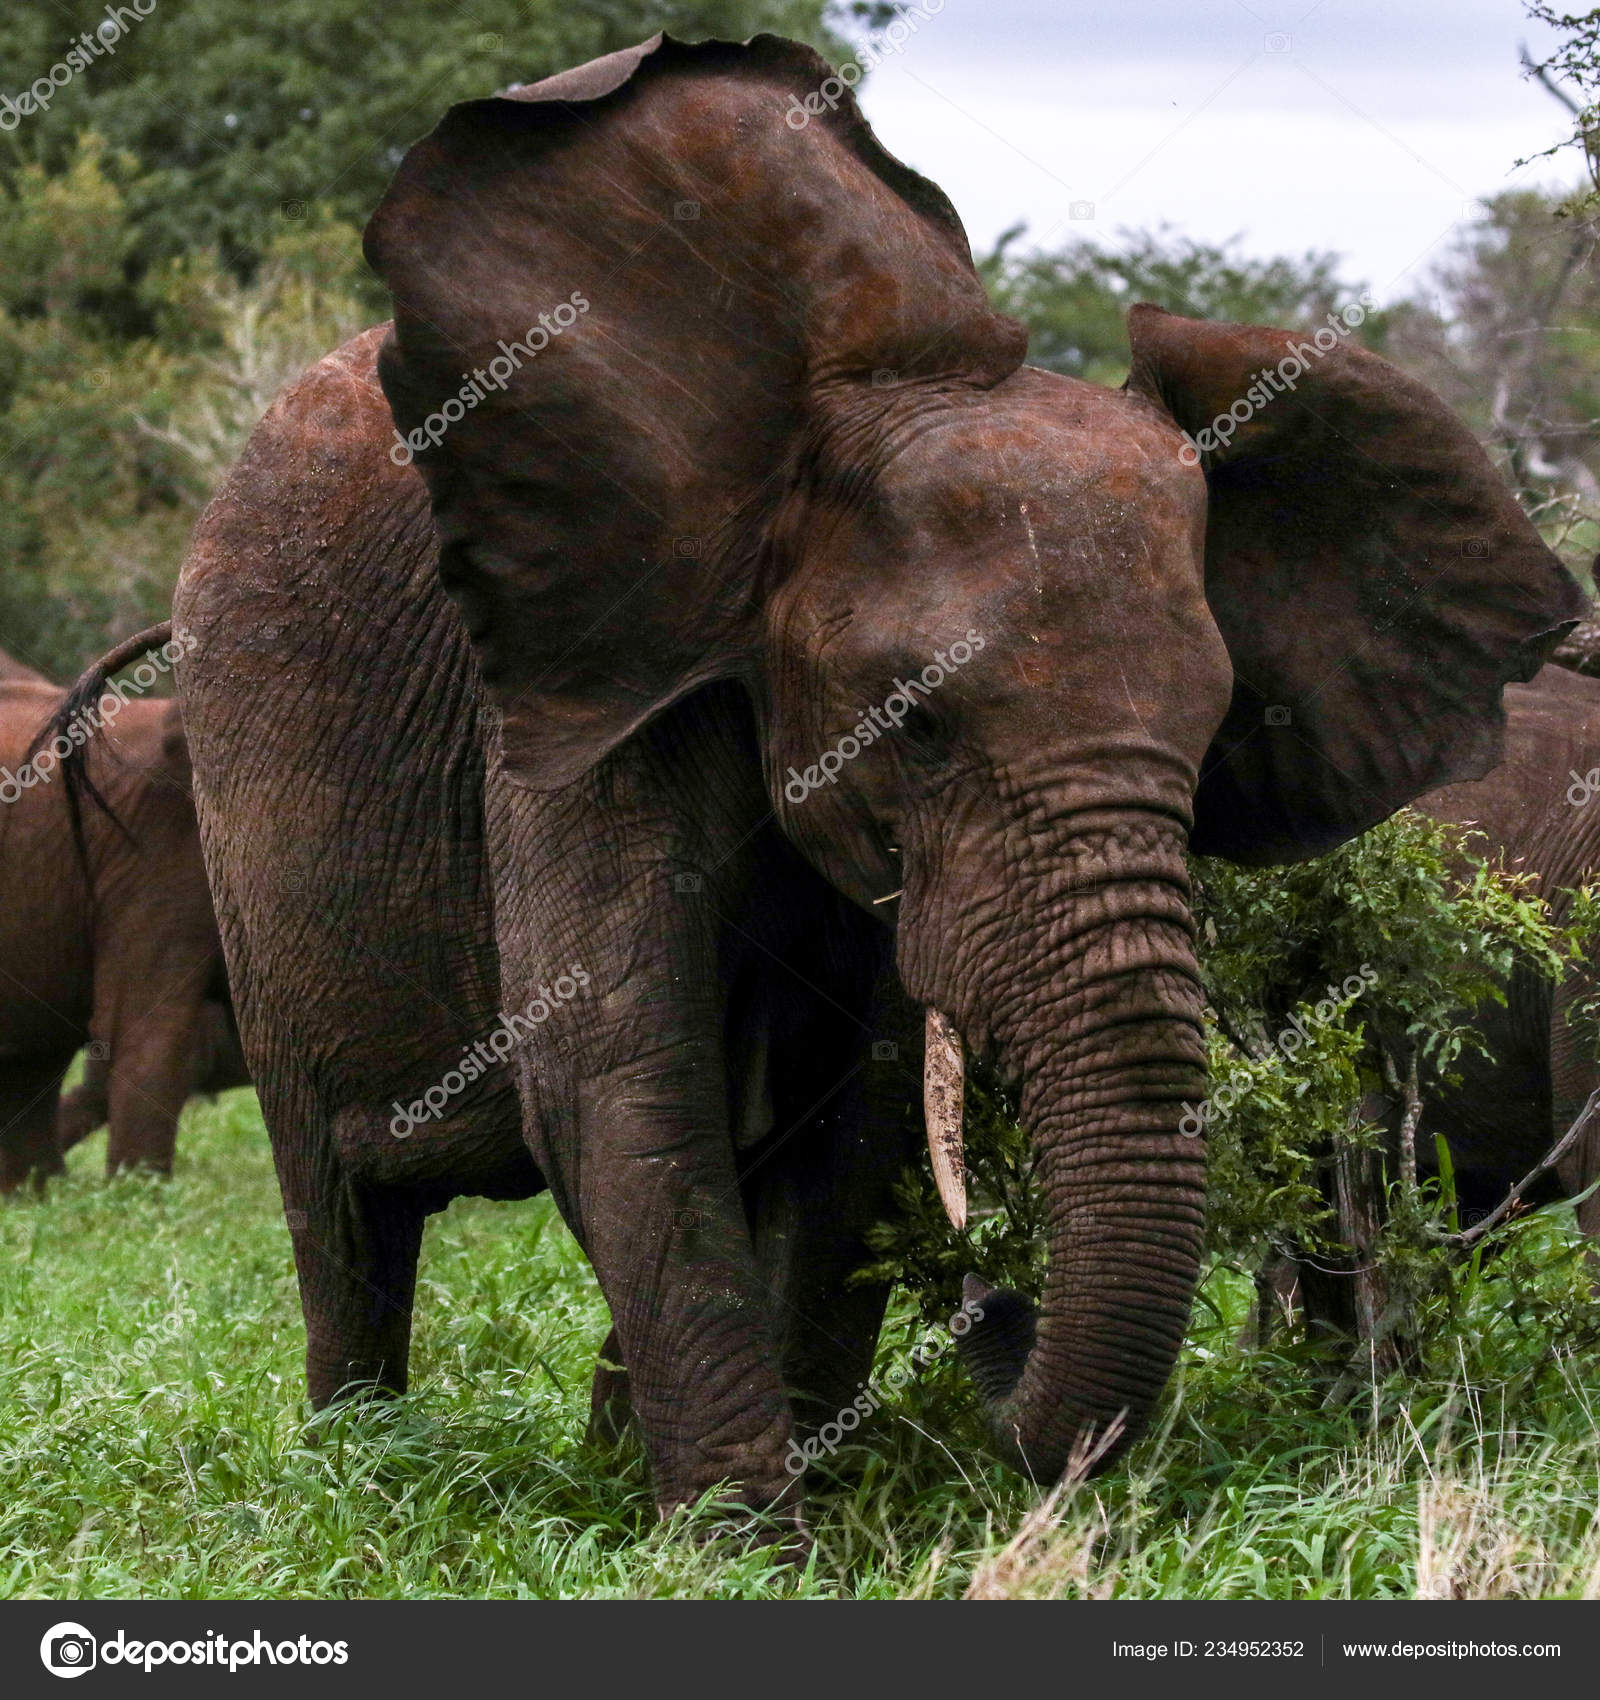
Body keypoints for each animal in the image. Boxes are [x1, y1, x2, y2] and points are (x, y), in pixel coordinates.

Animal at [61, 34, 1579, 1522]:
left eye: (1213, 739)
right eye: (915, 722)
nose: (999, 1303)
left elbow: (860, 1120)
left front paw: (795, 1501)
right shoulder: (580, 685)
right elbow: (615, 1073)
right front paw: (745, 1539)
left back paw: (605, 1460)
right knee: (341, 1207)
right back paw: (369, 1466)